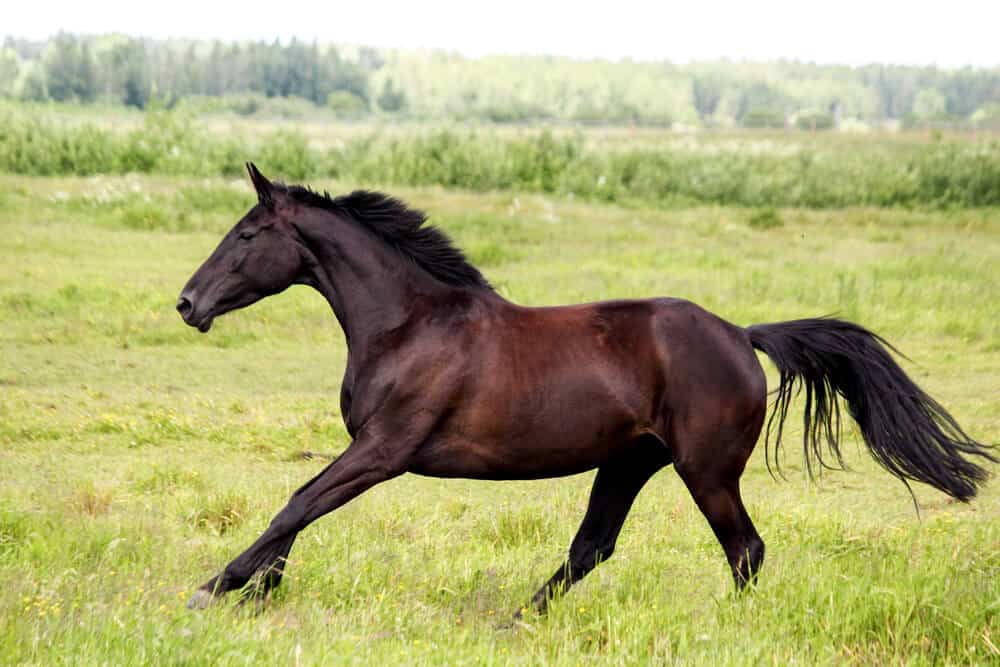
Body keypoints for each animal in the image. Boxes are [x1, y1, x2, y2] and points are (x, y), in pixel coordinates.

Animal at [177, 163, 994, 614]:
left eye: (246, 235)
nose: (188, 303)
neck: (410, 324)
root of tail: (742, 334)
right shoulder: (372, 451)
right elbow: (298, 508)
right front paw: (258, 589)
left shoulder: (384, 449)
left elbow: (297, 502)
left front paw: (219, 587)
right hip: (629, 461)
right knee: (593, 545)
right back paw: (517, 618)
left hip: (705, 470)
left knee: (745, 550)